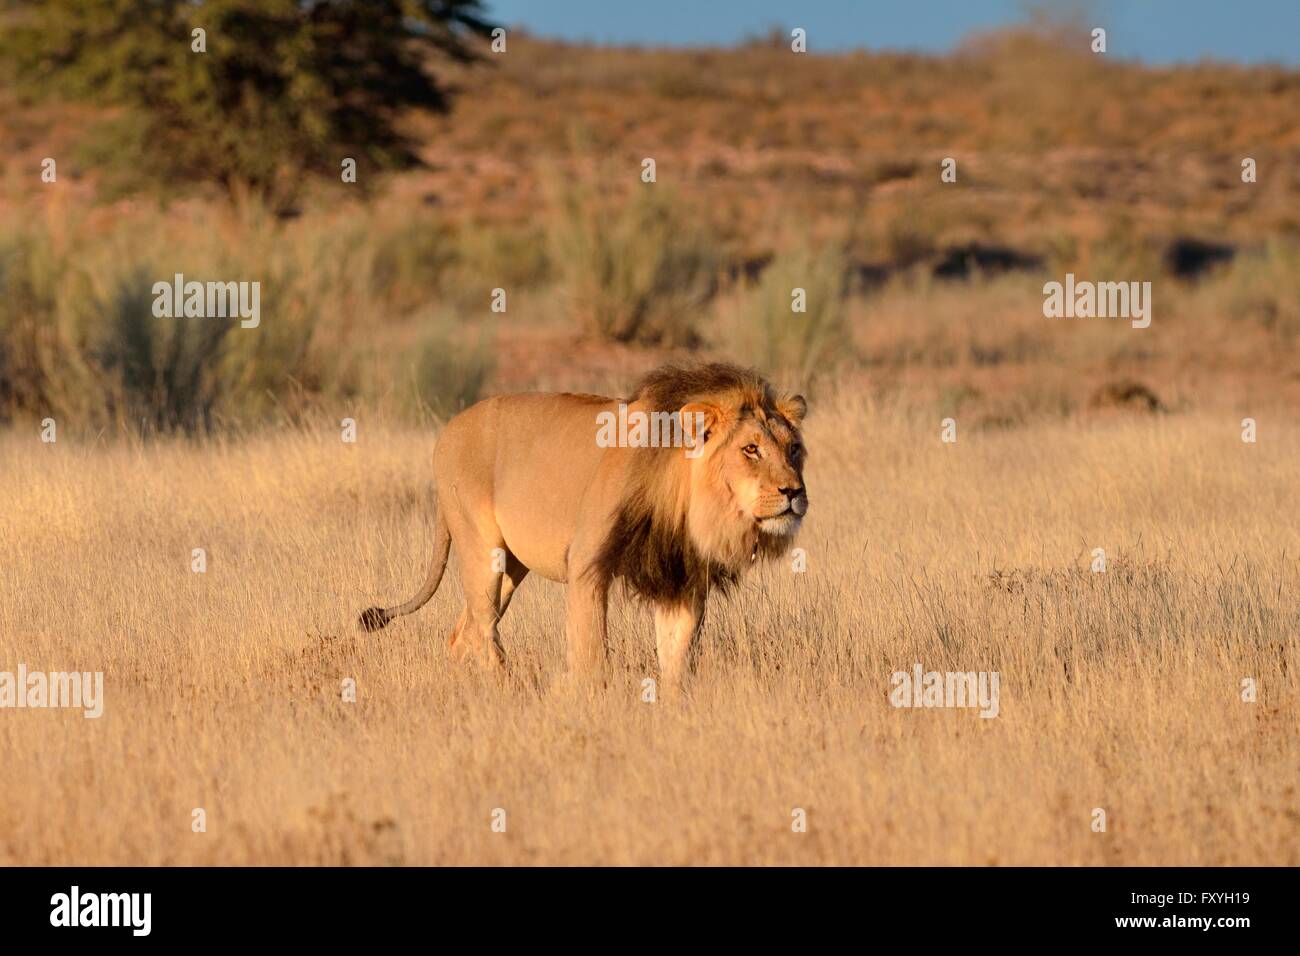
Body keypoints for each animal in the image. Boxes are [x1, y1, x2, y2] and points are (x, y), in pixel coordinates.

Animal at [358, 362, 809, 692]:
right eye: (750, 449)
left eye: (793, 449)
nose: (794, 491)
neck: (685, 502)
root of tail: (448, 429)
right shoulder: (588, 564)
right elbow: (591, 652)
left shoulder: (679, 578)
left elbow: (677, 658)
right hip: (480, 546)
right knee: (484, 627)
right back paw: (510, 686)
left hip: (512, 564)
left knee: (463, 631)